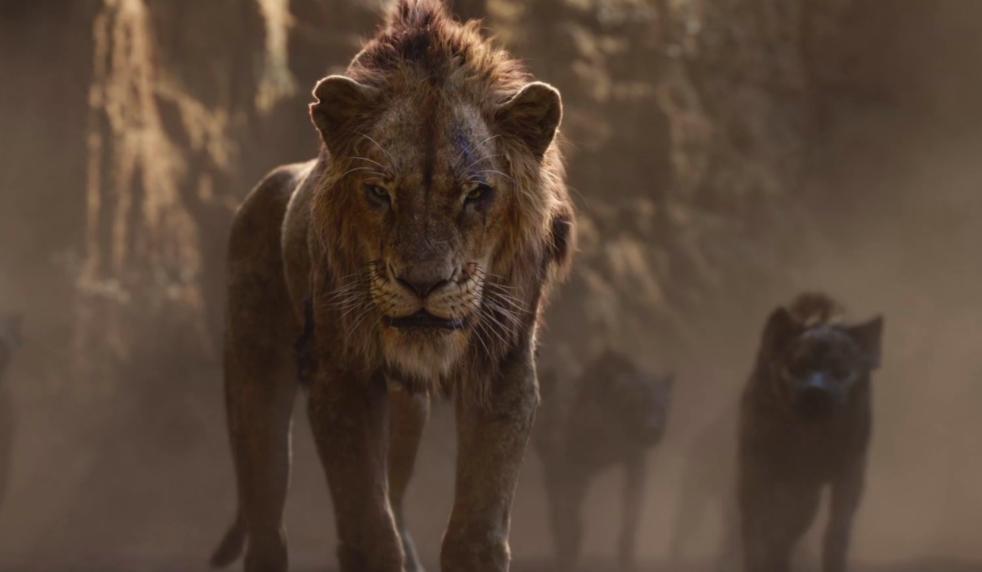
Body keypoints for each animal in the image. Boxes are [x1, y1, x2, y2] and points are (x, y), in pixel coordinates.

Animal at [210, 1, 575, 571]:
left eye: (475, 194)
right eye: (379, 192)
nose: (423, 283)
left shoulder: (504, 368)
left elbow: (475, 530)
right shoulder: (343, 375)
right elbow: (366, 527)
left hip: (407, 413)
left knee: (398, 500)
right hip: (255, 381)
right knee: (267, 521)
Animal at [534, 351, 674, 571]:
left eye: (661, 407)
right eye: (635, 403)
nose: (653, 430)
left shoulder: (635, 463)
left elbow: (630, 519)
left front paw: (627, 559)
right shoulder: (568, 466)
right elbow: (570, 522)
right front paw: (568, 556)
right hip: (557, 473)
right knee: (558, 514)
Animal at [738, 293, 883, 572]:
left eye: (841, 371)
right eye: (795, 368)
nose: (816, 391)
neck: (811, 440)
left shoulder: (848, 477)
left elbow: (837, 531)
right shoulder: (764, 475)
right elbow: (762, 530)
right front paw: (763, 558)